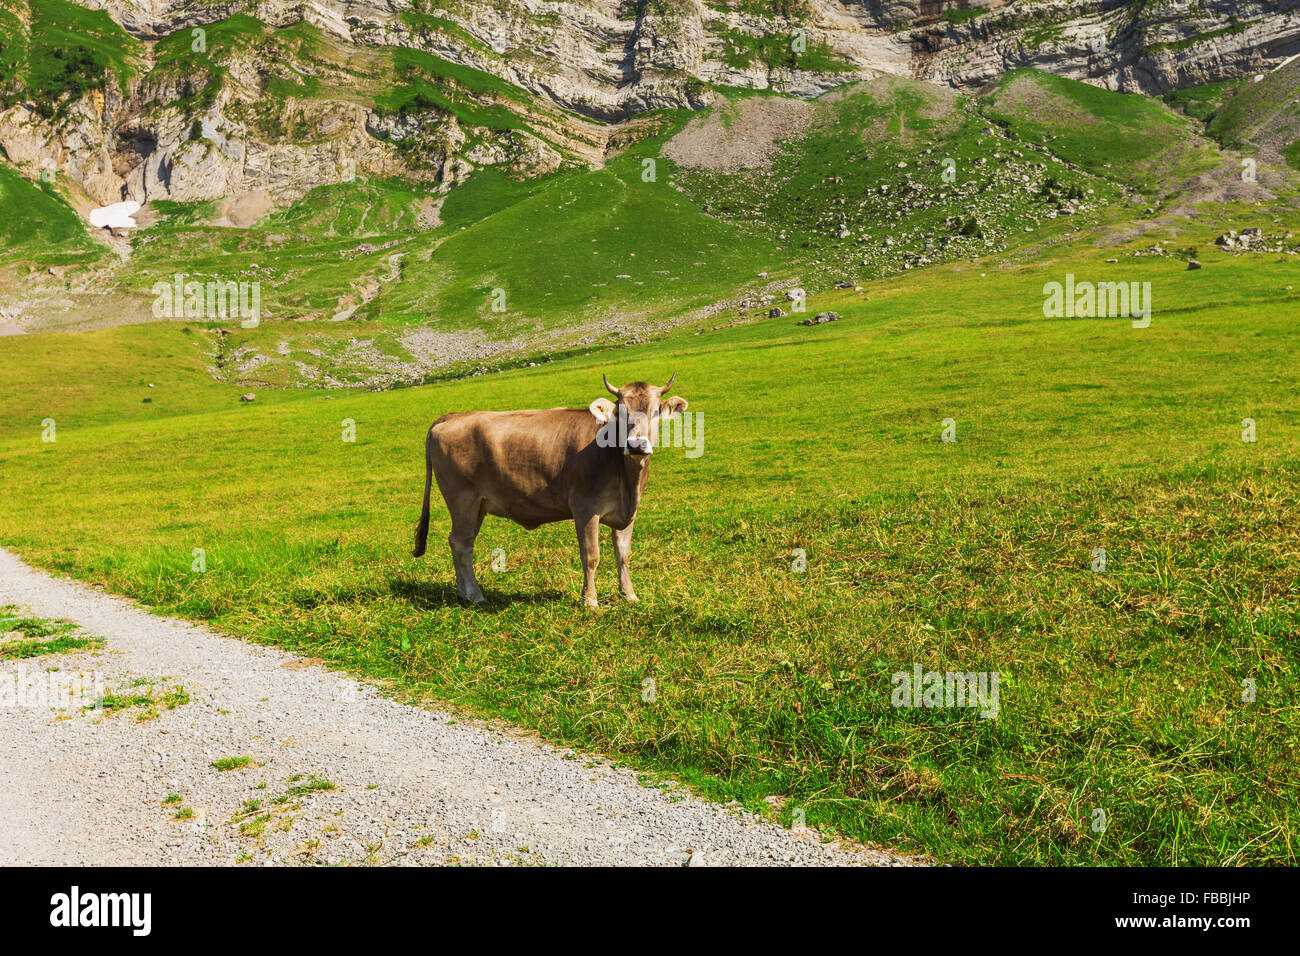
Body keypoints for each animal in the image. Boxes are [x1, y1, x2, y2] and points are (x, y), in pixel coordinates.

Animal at [413, 374, 688, 608]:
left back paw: (464, 593)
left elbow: (623, 554)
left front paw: (629, 594)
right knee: (461, 544)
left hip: (477, 504)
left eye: (655, 412)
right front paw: (590, 600)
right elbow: (591, 556)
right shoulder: (585, 509)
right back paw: (475, 595)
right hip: (462, 499)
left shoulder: (627, 513)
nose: (637, 445)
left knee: (460, 542)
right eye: (621, 413)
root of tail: (451, 416)